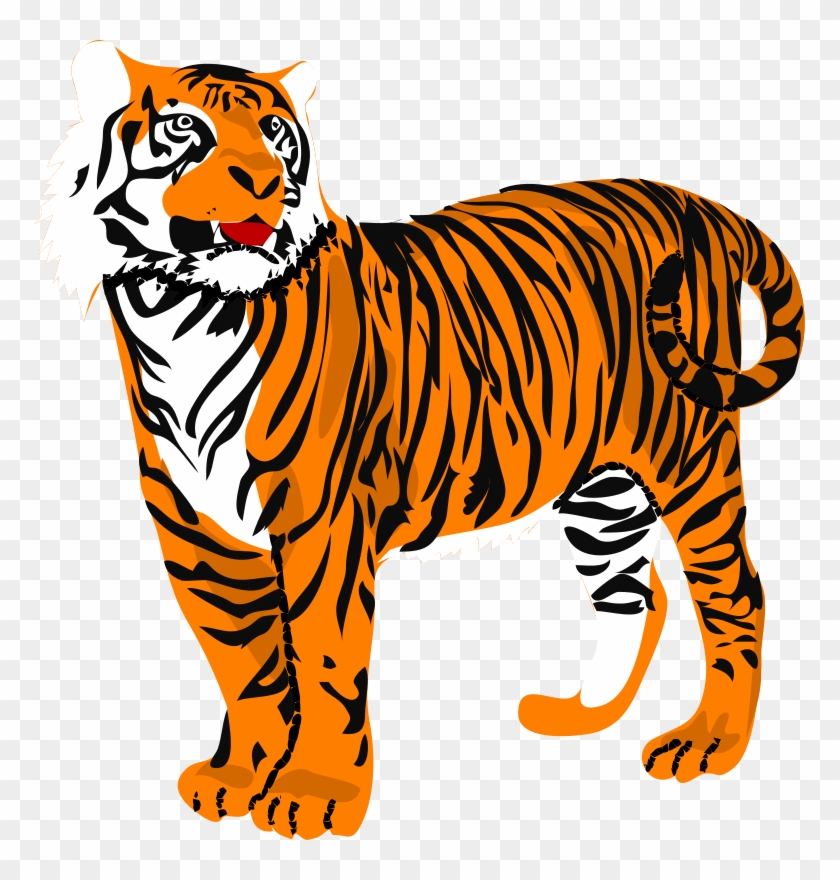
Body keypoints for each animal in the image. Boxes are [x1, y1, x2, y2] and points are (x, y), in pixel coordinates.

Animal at [40, 42, 805, 839]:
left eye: (277, 134)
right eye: (186, 126)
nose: (268, 181)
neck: (181, 312)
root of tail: (701, 205)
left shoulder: (320, 524)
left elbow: (323, 660)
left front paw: (312, 794)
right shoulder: (197, 534)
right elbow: (243, 662)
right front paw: (237, 777)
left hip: (690, 449)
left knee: (736, 591)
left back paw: (710, 743)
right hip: (598, 483)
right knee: (632, 589)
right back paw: (582, 715)